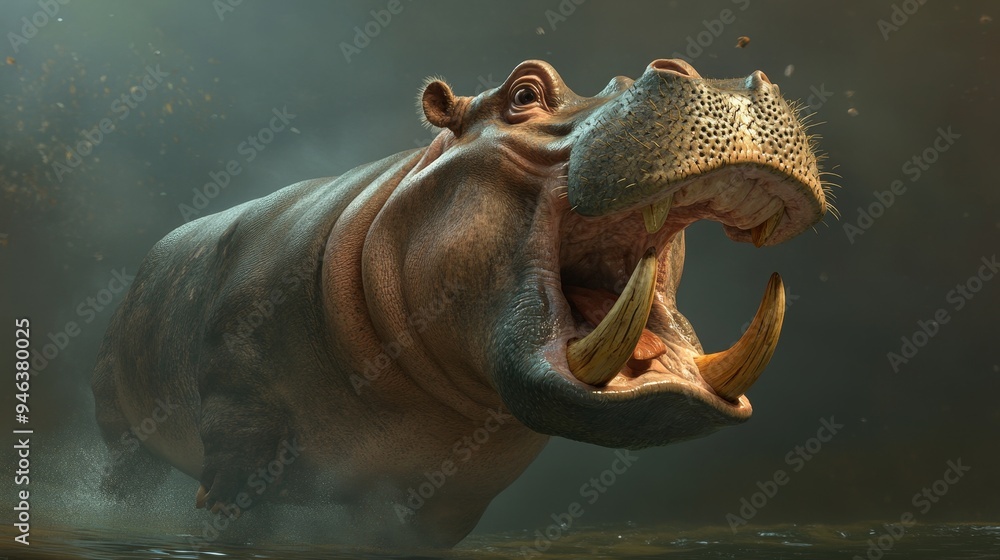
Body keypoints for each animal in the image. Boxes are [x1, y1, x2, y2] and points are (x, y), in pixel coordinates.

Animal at [91, 58, 826, 548]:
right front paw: (219, 514)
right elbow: (238, 468)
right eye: (523, 91)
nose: (725, 82)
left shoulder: (450, 493)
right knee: (131, 472)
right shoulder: (237, 392)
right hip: (118, 424)